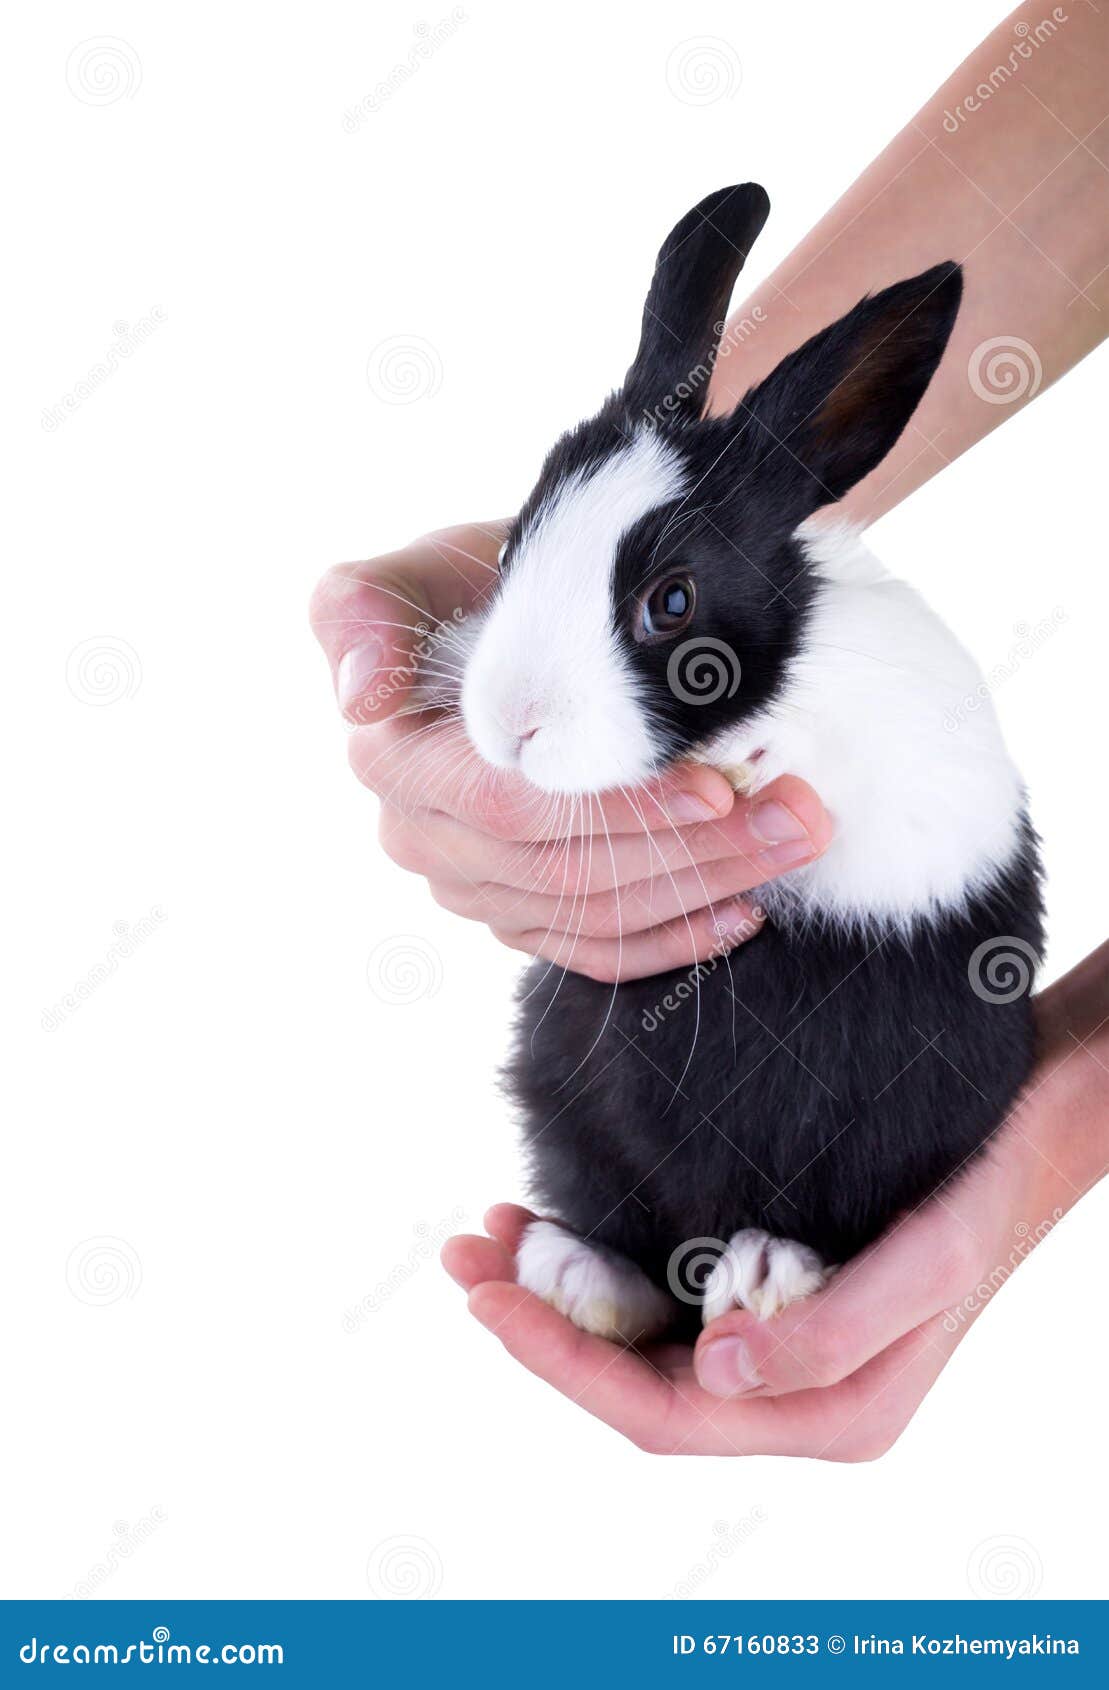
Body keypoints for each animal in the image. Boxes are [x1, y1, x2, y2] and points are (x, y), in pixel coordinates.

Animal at [448, 184, 1043, 1342]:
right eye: (509, 545)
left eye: (671, 602)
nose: (511, 724)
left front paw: (744, 771)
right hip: (568, 1094)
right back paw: (581, 1279)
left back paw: (761, 1275)